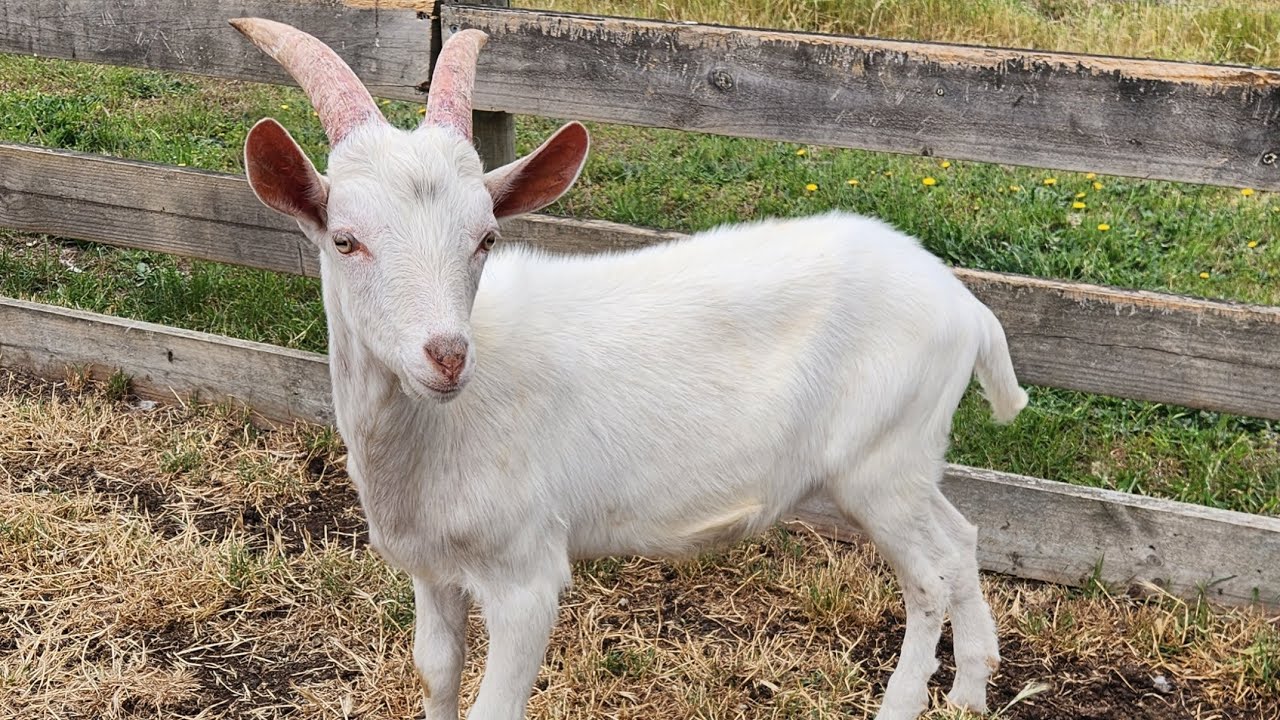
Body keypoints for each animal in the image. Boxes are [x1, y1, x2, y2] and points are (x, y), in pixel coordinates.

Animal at [230, 17, 1028, 720]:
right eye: (345, 240)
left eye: (485, 237)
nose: (447, 355)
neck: (425, 437)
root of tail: (966, 306)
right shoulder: (432, 567)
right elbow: (435, 675)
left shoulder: (526, 572)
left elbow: (497, 701)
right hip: (904, 457)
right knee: (960, 539)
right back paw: (970, 690)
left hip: (879, 463)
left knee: (927, 578)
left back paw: (908, 701)